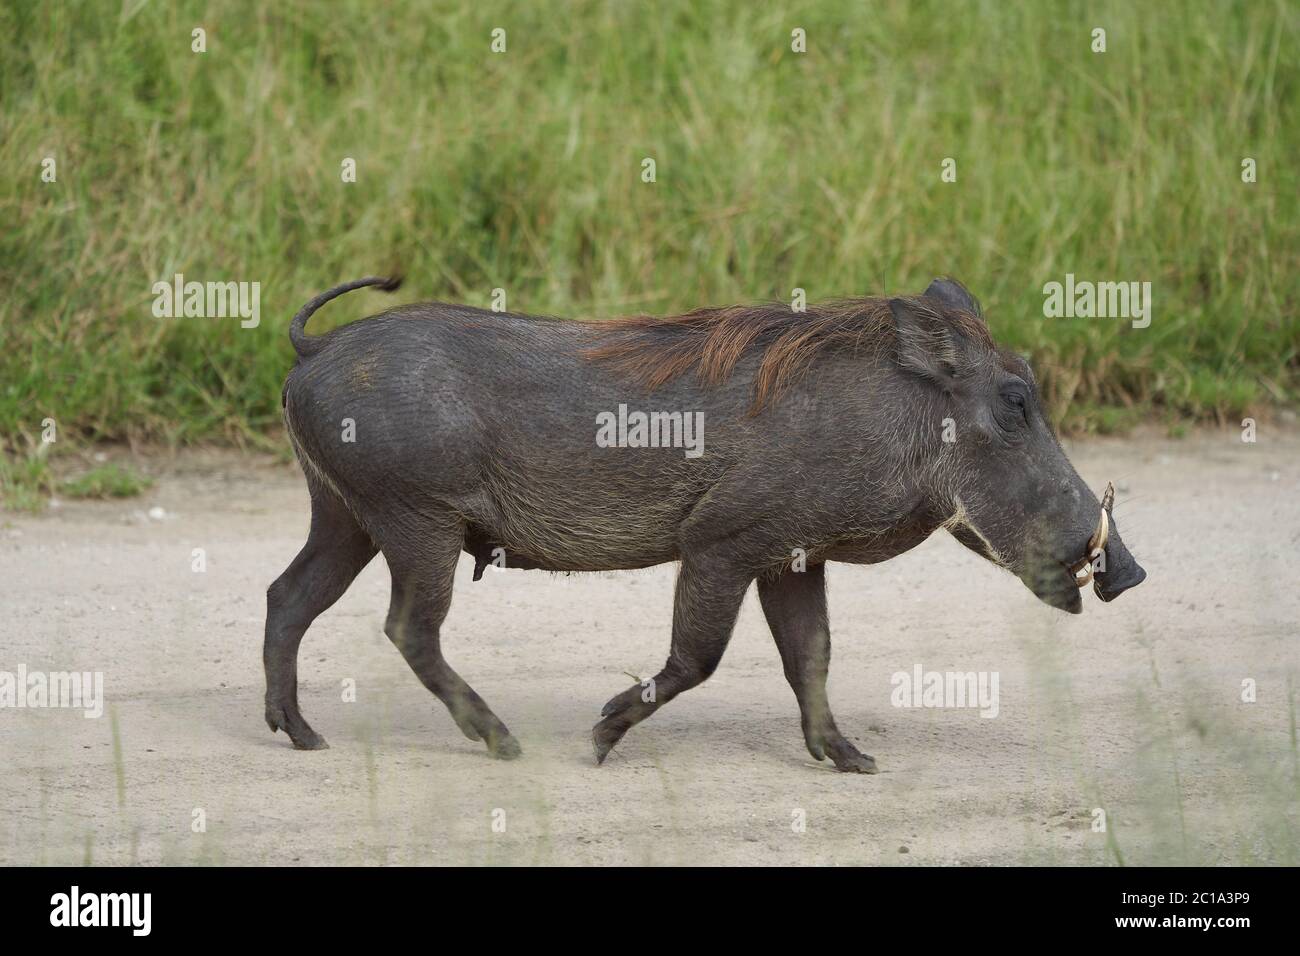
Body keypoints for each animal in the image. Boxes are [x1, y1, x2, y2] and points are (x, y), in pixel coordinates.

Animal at [264, 276, 1146, 772]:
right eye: (1017, 400)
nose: (1129, 572)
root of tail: (313, 349)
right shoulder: (721, 545)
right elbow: (698, 659)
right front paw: (601, 739)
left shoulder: (793, 559)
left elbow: (811, 658)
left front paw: (850, 760)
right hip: (417, 521)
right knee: (407, 627)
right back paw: (501, 741)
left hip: (346, 517)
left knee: (288, 597)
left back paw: (300, 735)